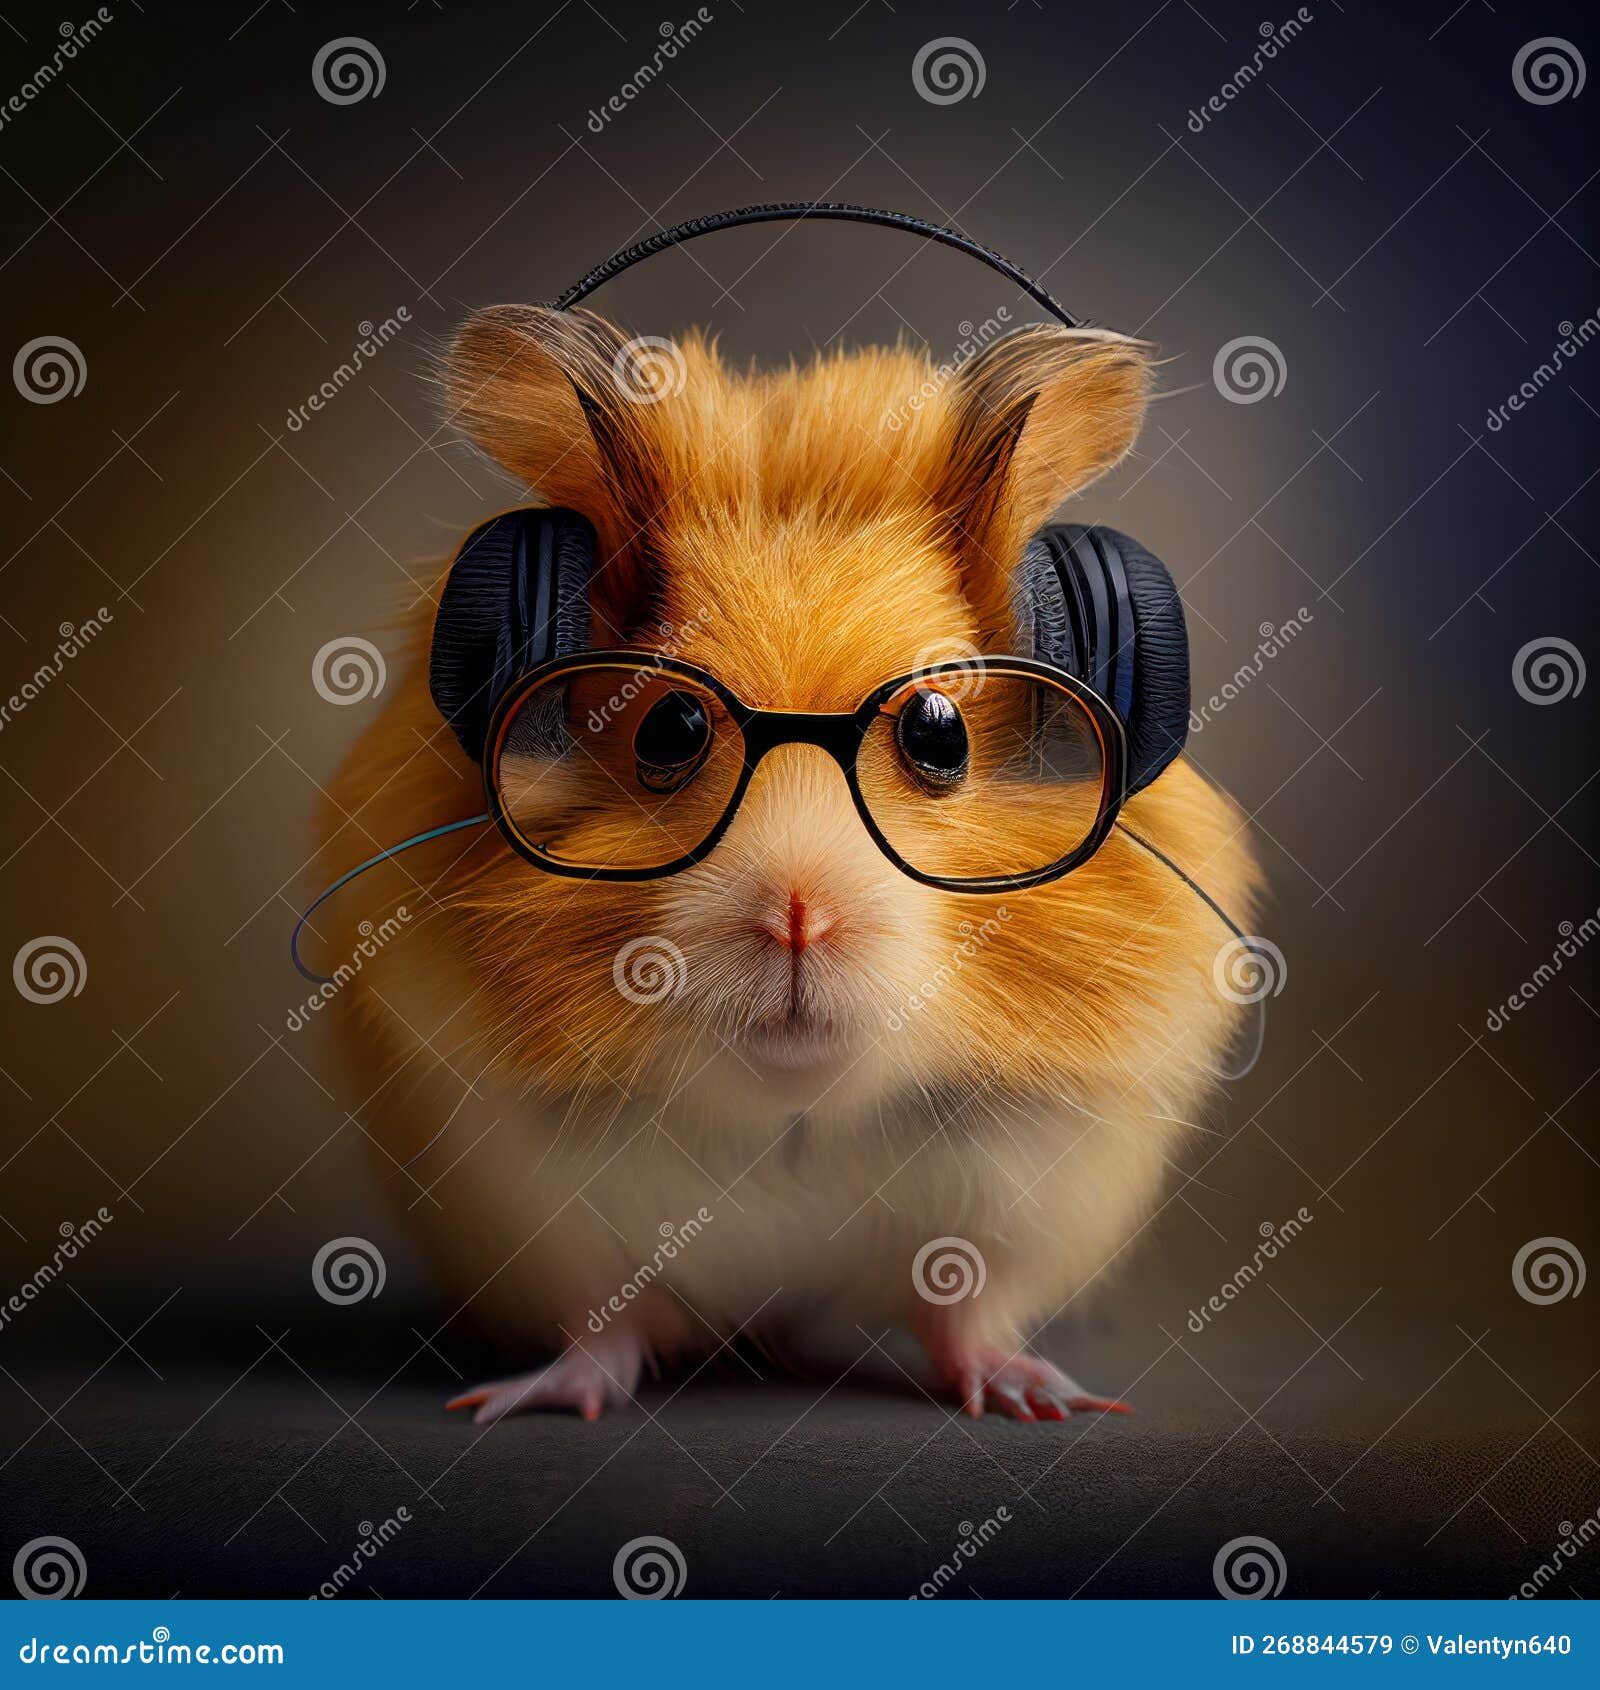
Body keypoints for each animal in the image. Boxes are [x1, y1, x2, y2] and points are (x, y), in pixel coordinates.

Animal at [316, 305, 1259, 1424]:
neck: (794, 1108)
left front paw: (1051, 1401)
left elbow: (968, 1312)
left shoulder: (1023, 1204)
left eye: (939, 733)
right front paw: (512, 1401)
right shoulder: (534, 1198)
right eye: (669, 729)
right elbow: (604, 1322)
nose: (800, 918)